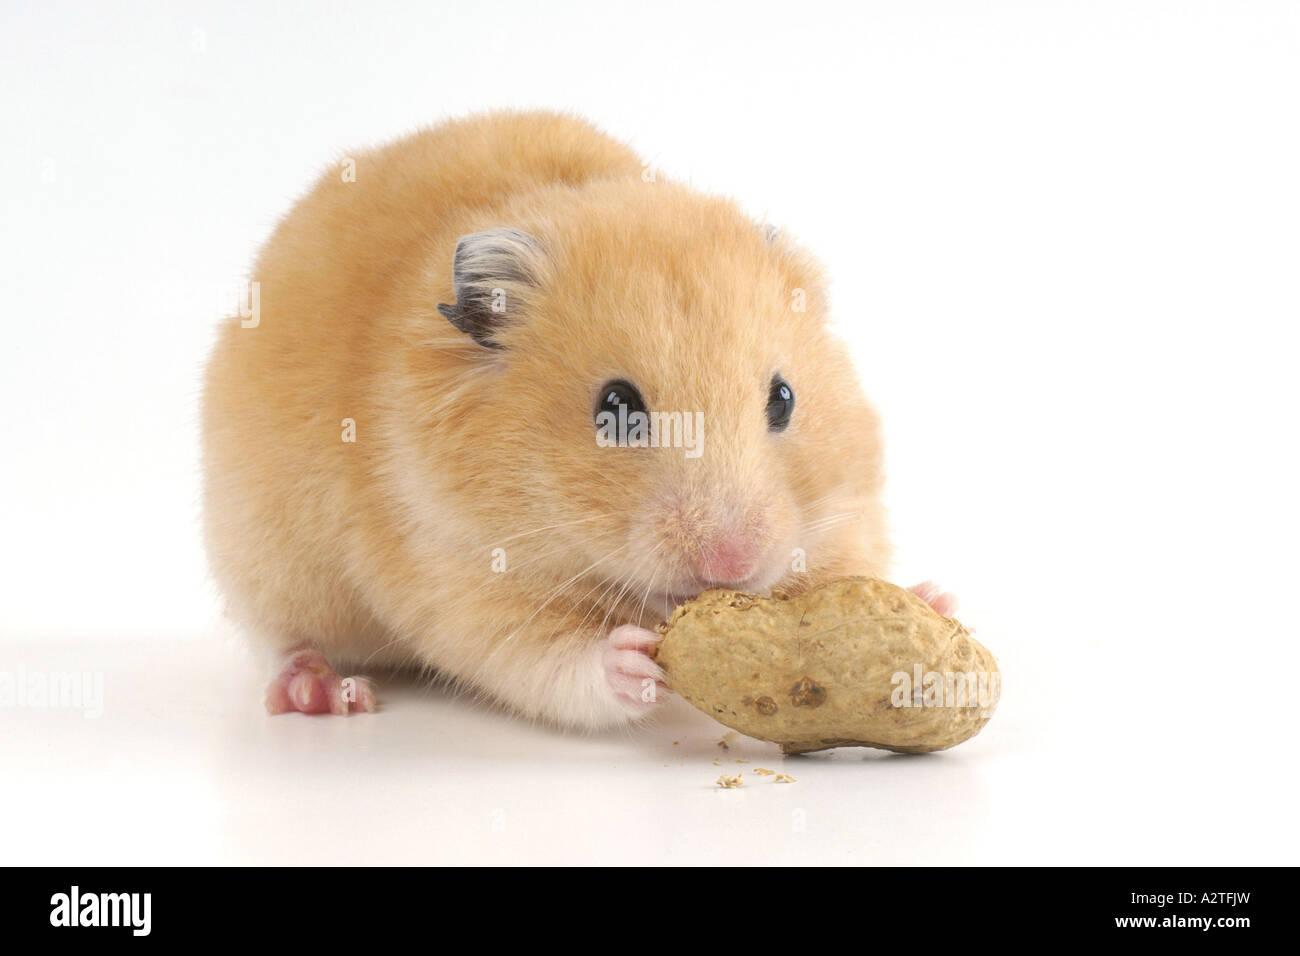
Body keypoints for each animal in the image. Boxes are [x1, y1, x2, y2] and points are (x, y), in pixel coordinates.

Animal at [202, 110, 945, 729]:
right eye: (615, 408)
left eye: (784, 399)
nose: (731, 563)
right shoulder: (451, 566)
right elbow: (543, 658)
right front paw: (635, 661)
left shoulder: (845, 511)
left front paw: (932, 599)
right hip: (261, 556)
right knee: (282, 641)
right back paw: (322, 691)